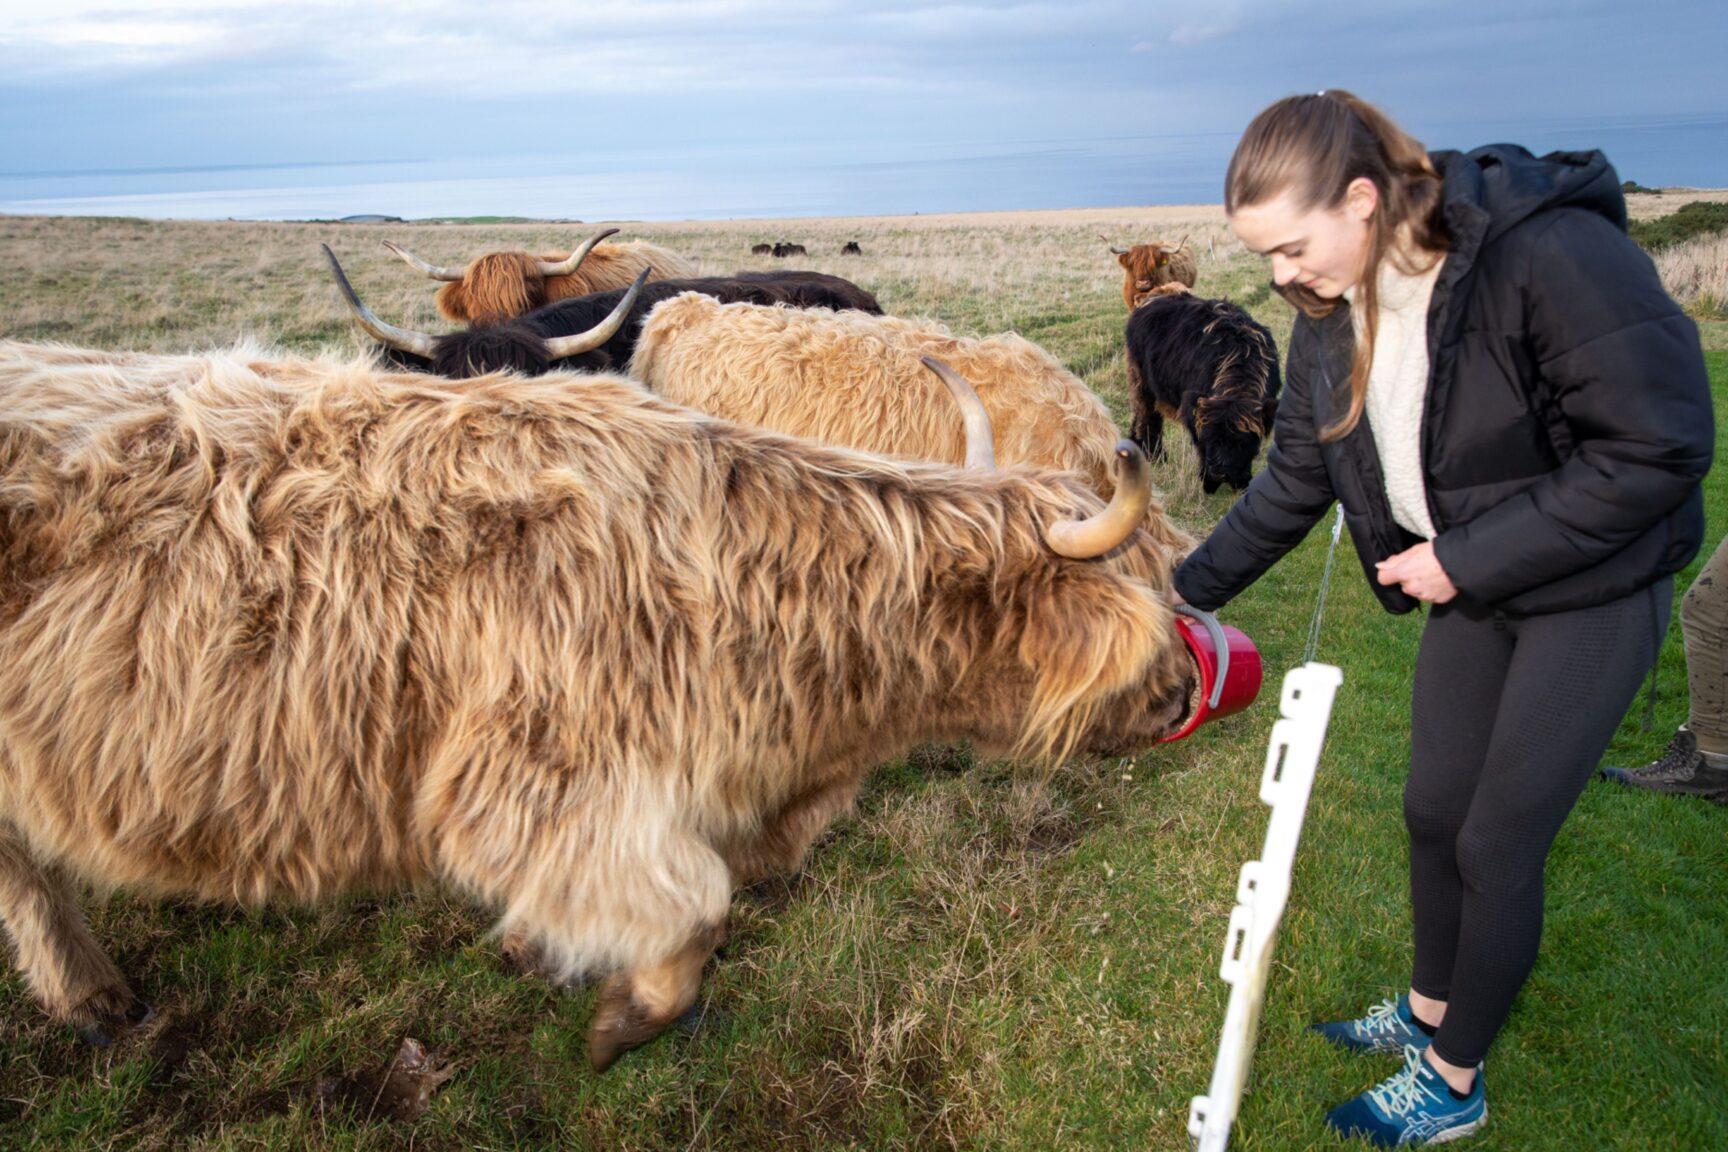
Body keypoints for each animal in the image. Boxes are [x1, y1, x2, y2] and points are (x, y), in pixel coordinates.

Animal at [0, 337, 1195, 1073]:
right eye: (1146, 594)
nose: (1188, 690)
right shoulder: (521, 786)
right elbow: (696, 911)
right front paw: (619, 1021)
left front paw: (538, 949)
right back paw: (94, 998)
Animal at [1123, 286, 1282, 493]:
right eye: (1209, 438)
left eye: (1241, 441)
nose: (1219, 473)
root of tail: (1153, 295)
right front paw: (1208, 482)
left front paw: (1243, 481)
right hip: (1141, 381)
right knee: (1147, 417)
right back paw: (1155, 456)